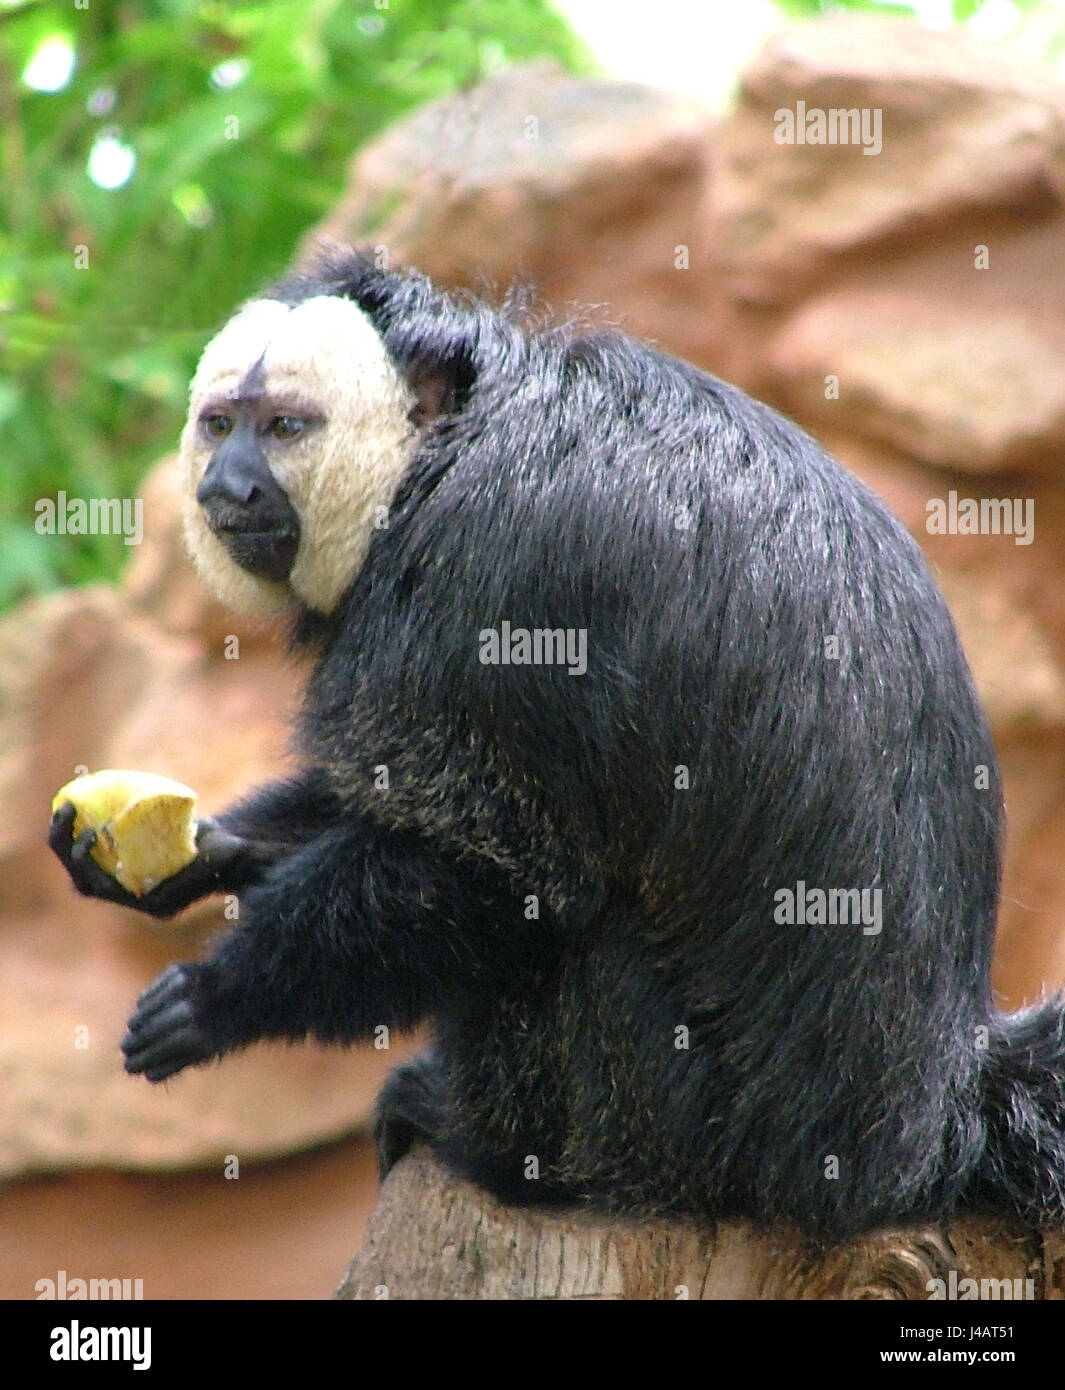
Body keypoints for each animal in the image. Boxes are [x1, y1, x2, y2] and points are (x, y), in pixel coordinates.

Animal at [50, 247, 1065, 1243]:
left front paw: (222, 995)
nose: (226, 486)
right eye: (220, 425)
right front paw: (201, 854)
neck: (445, 448)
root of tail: (926, 1124)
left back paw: (491, 1147)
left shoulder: (488, 584)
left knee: (569, 936)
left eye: (284, 427)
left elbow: (505, 871)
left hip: (695, 1131)